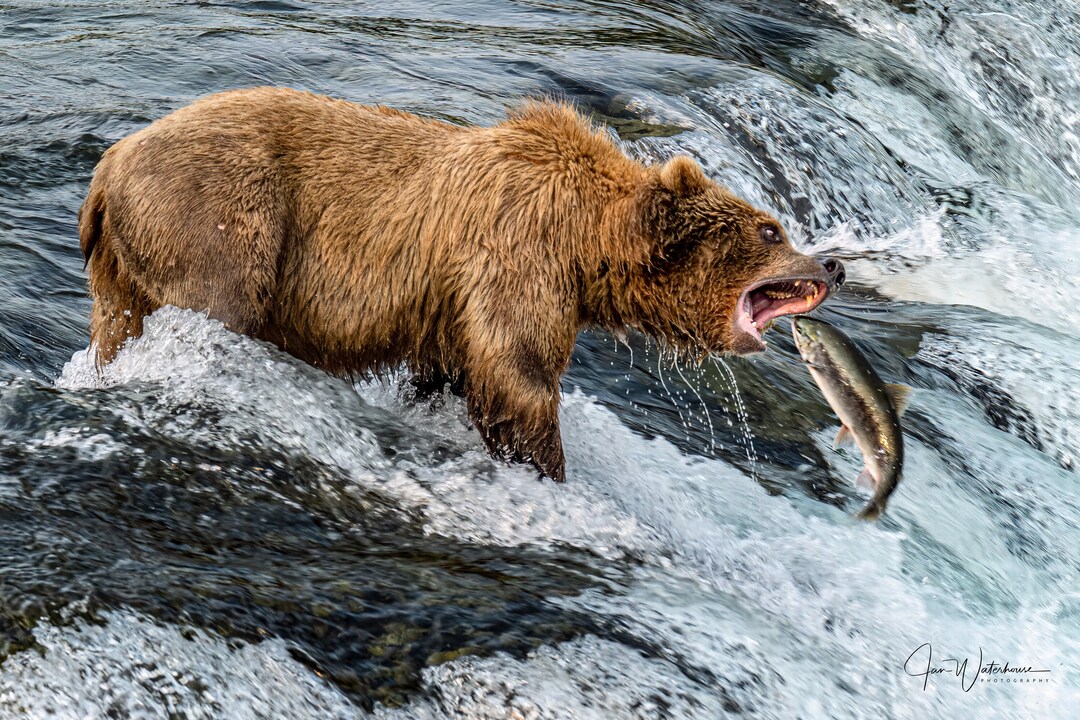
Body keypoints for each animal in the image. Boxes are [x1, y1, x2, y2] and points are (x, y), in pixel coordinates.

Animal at [78, 87, 844, 481]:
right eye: (772, 230)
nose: (830, 265)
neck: (590, 241)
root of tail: (108, 167)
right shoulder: (518, 255)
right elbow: (519, 373)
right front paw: (546, 469)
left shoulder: (452, 303)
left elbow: (452, 373)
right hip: (224, 216)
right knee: (216, 306)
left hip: (121, 265)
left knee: (117, 328)